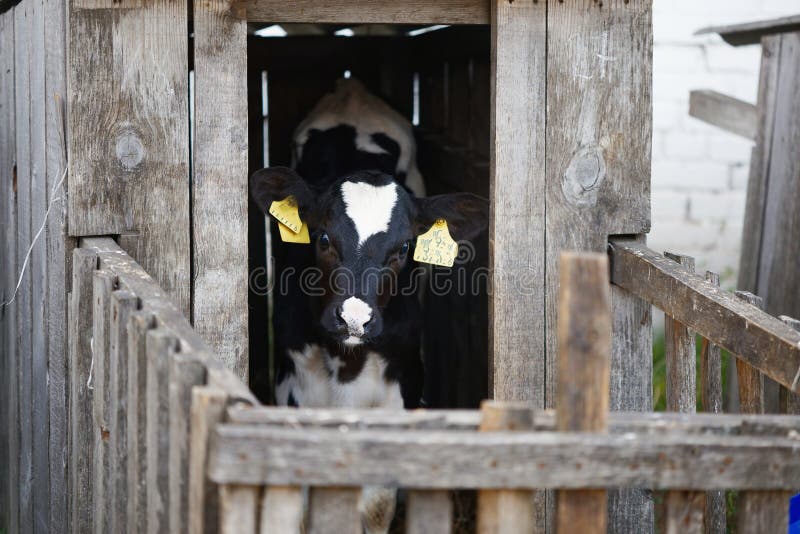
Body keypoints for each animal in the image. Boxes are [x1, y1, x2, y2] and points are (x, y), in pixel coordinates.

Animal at [250, 79, 488, 533]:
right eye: (323, 238)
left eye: (404, 248)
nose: (353, 319)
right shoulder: (293, 381)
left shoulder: (403, 379)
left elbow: (377, 503)